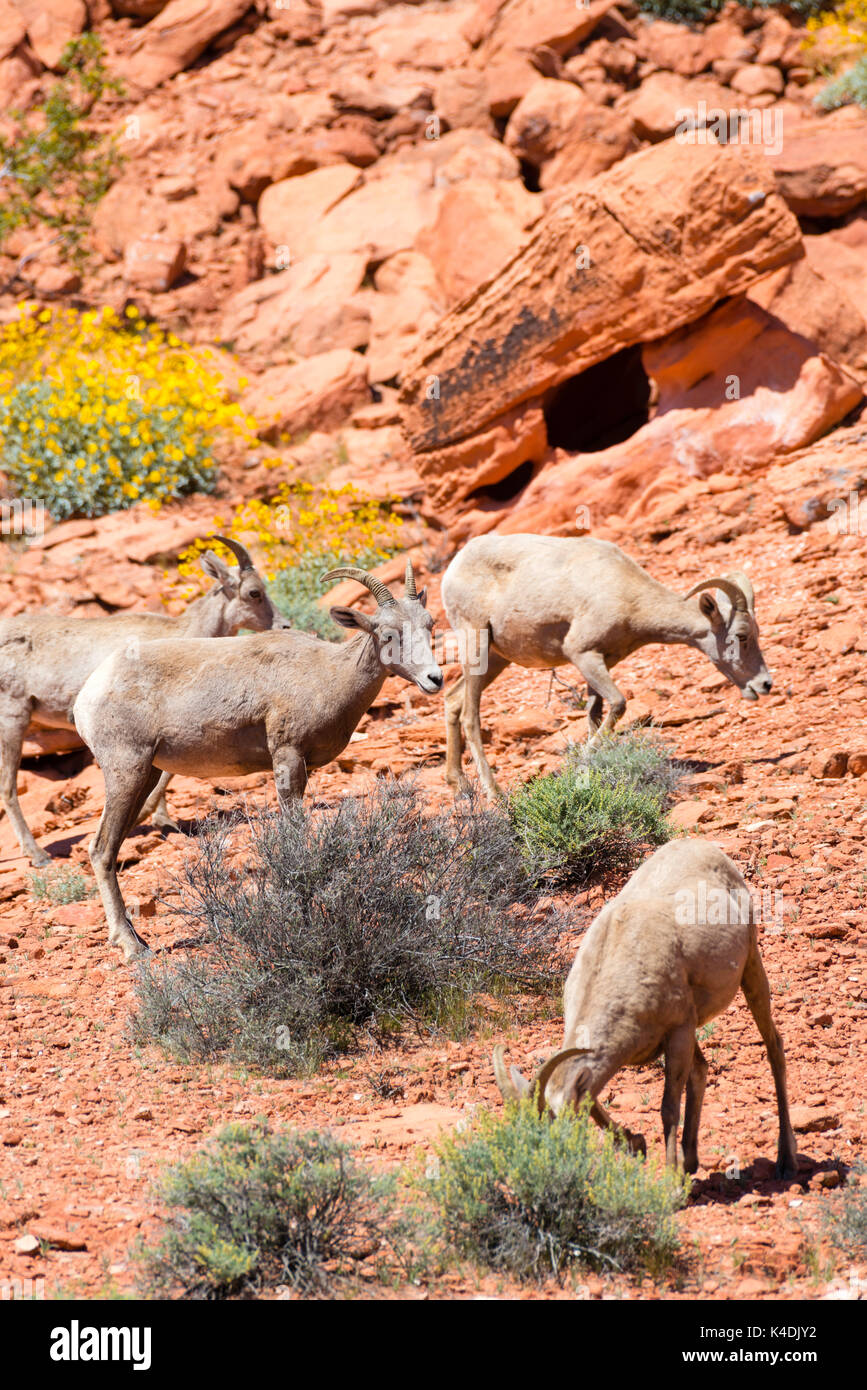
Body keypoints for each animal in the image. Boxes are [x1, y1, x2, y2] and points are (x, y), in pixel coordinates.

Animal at [0, 537, 288, 866]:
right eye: (254, 593)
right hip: (14, 717)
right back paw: (38, 855)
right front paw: (153, 818)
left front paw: (165, 822)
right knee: (8, 788)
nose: (284, 625)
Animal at [73, 561, 443, 959]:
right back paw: (132, 947)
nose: (434, 678)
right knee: (101, 850)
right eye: (389, 633)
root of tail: (86, 696)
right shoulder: (287, 757)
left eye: (429, 624)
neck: (327, 675)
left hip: (146, 777)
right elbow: (293, 837)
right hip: (127, 773)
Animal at [441, 533, 771, 799]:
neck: (628, 595)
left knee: (453, 700)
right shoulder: (582, 654)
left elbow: (594, 718)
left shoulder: (600, 663)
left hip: (497, 658)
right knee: (470, 715)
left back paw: (459, 785)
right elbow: (619, 704)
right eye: (741, 636)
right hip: (476, 643)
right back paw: (493, 793)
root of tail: (455, 565)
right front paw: (580, 770)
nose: (765, 684)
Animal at [493, 839, 798, 1178]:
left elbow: (668, 1108)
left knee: (774, 1048)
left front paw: (671, 1179)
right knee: (702, 1069)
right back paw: (691, 1161)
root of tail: (701, 845)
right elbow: (595, 1101)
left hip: (751, 969)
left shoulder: (678, 1032)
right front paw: (637, 1146)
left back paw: (786, 1161)